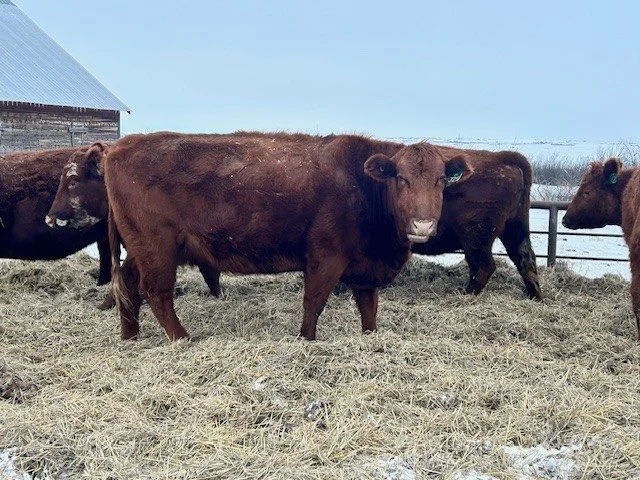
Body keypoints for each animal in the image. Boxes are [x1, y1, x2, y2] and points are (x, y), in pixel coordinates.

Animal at [104, 132, 473, 341]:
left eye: (442, 179)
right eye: (400, 178)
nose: (423, 226)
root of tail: (119, 146)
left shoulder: (364, 266)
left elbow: (369, 307)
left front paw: (371, 339)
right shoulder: (326, 255)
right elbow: (314, 301)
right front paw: (306, 340)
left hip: (140, 248)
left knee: (128, 285)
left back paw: (130, 336)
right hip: (157, 247)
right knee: (155, 292)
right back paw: (182, 338)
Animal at [412, 146, 542, 300]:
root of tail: (501, 157)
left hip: (475, 237)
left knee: (483, 266)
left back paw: (466, 295)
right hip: (515, 229)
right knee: (525, 260)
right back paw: (535, 297)